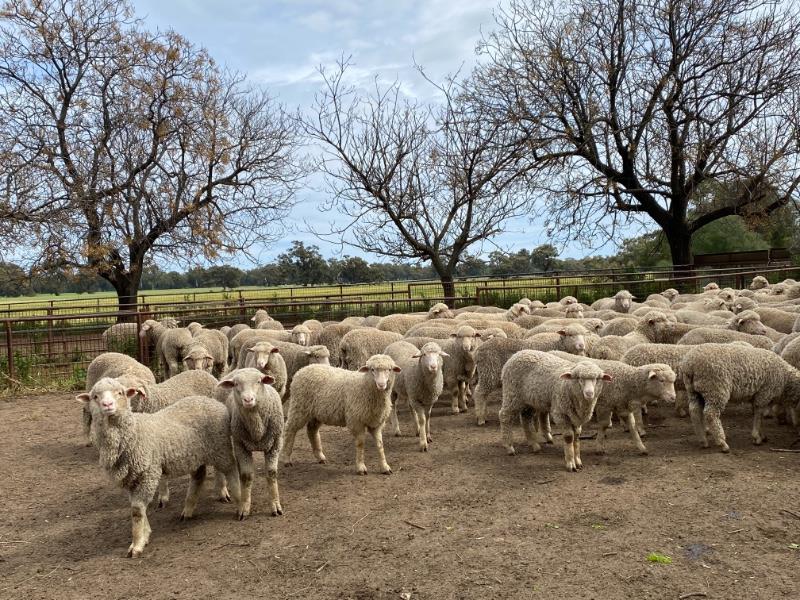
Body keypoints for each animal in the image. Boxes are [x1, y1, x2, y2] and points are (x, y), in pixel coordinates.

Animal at [77, 379, 241, 557]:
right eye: (95, 396)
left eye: (120, 393)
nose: (107, 404)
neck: (133, 432)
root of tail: (212, 401)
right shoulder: (131, 478)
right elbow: (138, 508)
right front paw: (145, 535)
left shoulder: (148, 473)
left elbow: (137, 510)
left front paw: (136, 544)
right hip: (196, 455)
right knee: (199, 476)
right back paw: (188, 510)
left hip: (220, 447)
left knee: (231, 470)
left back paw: (240, 504)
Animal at [217, 368, 285, 519]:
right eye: (236, 384)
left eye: (259, 381)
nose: (248, 400)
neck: (257, 429)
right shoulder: (241, 445)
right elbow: (247, 476)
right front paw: (244, 507)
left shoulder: (275, 444)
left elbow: (271, 474)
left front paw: (276, 506)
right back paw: (222, 491)